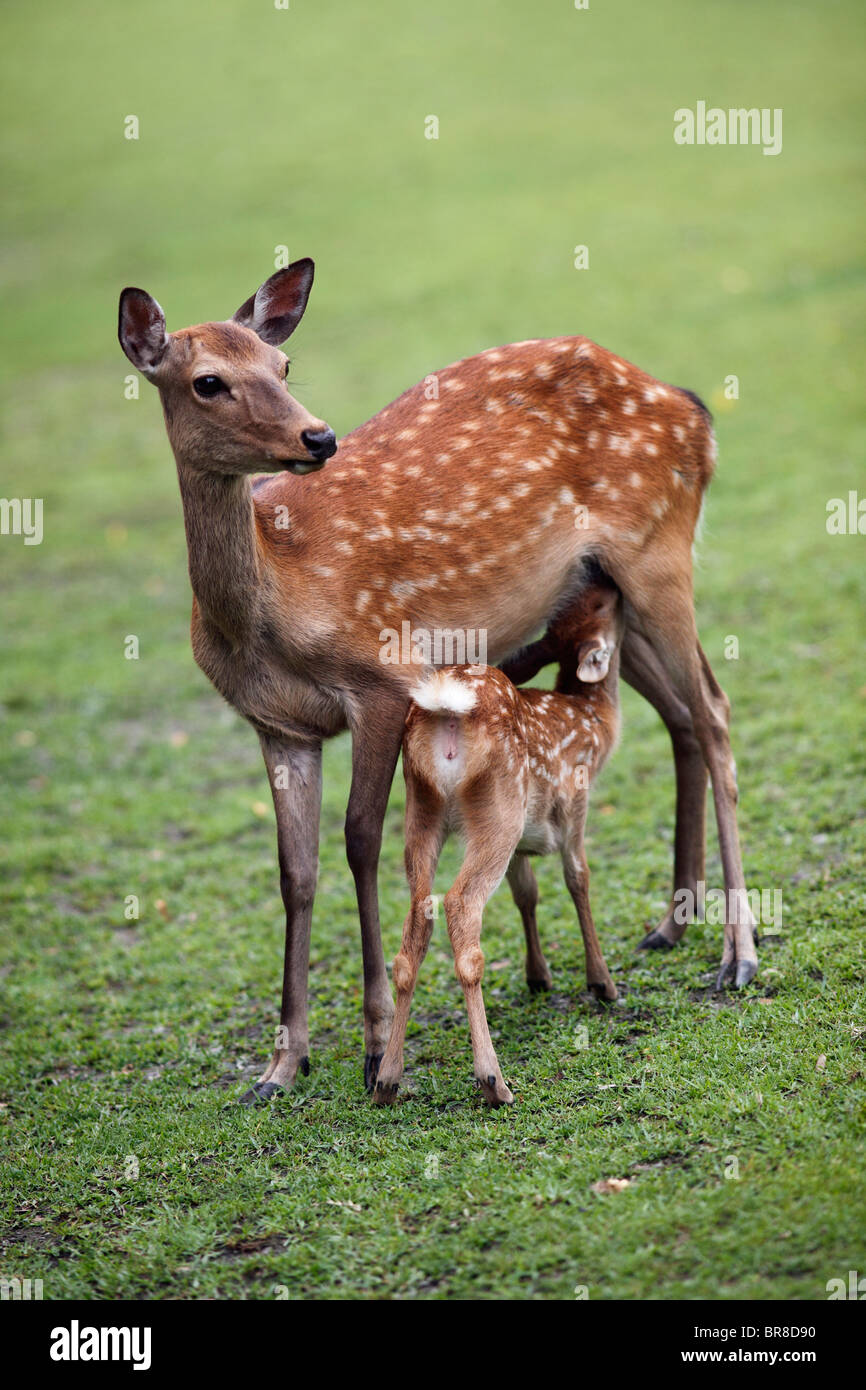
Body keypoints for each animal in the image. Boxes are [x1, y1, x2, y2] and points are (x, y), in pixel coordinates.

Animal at [374, 569, 624, 1107]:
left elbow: (526, 894)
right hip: (499, 805)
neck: (594, 718)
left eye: (575, 606)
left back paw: (386, 1079)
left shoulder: (524, 841)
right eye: (598, 605)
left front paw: (538, 976)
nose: (610, 581)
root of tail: (447, 712)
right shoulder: (576, 798)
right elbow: (579, 878)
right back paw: (493, 1080)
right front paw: (602, 983)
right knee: (459, 906)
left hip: (422, 807)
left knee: (416, 921)